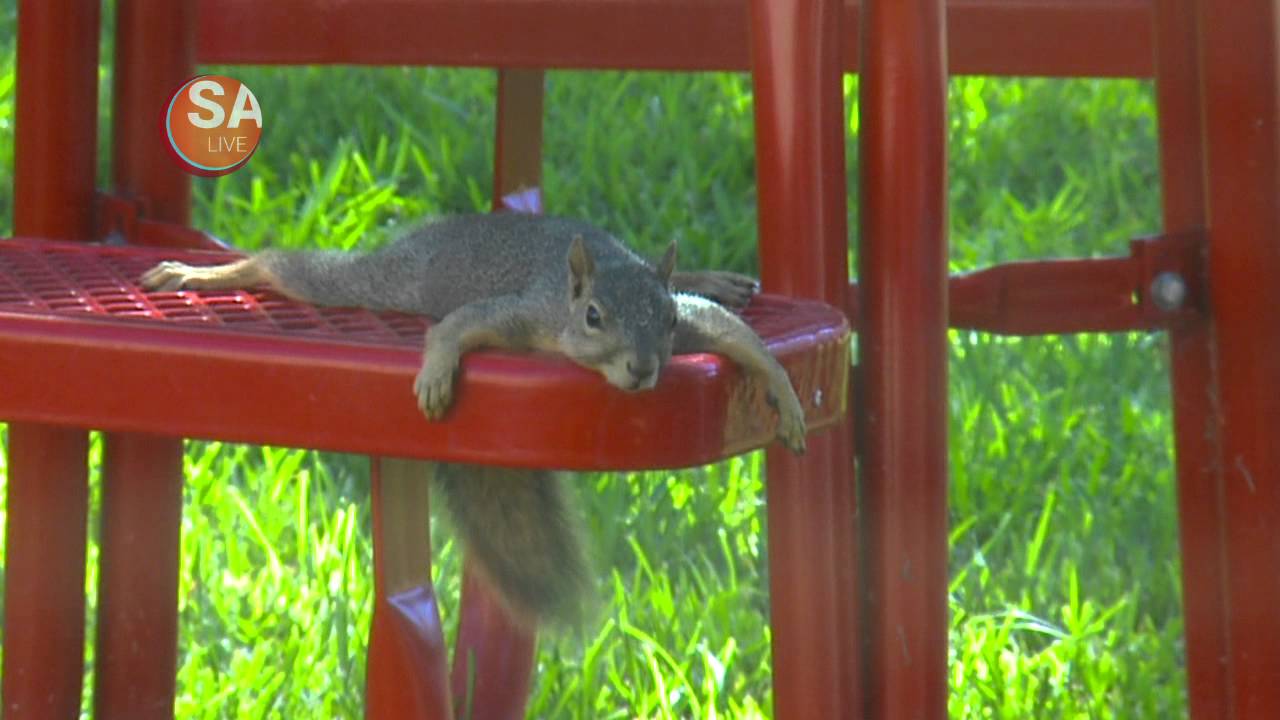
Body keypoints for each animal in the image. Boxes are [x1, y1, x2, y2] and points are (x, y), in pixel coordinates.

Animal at [141, 212, 806, 628]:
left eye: (665, 321)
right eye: (593, 316)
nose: (643, 369)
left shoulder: (693, 323)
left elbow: (738, 336)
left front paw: (788, 396)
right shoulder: (525, 314)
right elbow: (457, 326)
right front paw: (436, 373)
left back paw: (713, 278)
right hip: (395, 279)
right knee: (293, 267)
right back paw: (205, 272)